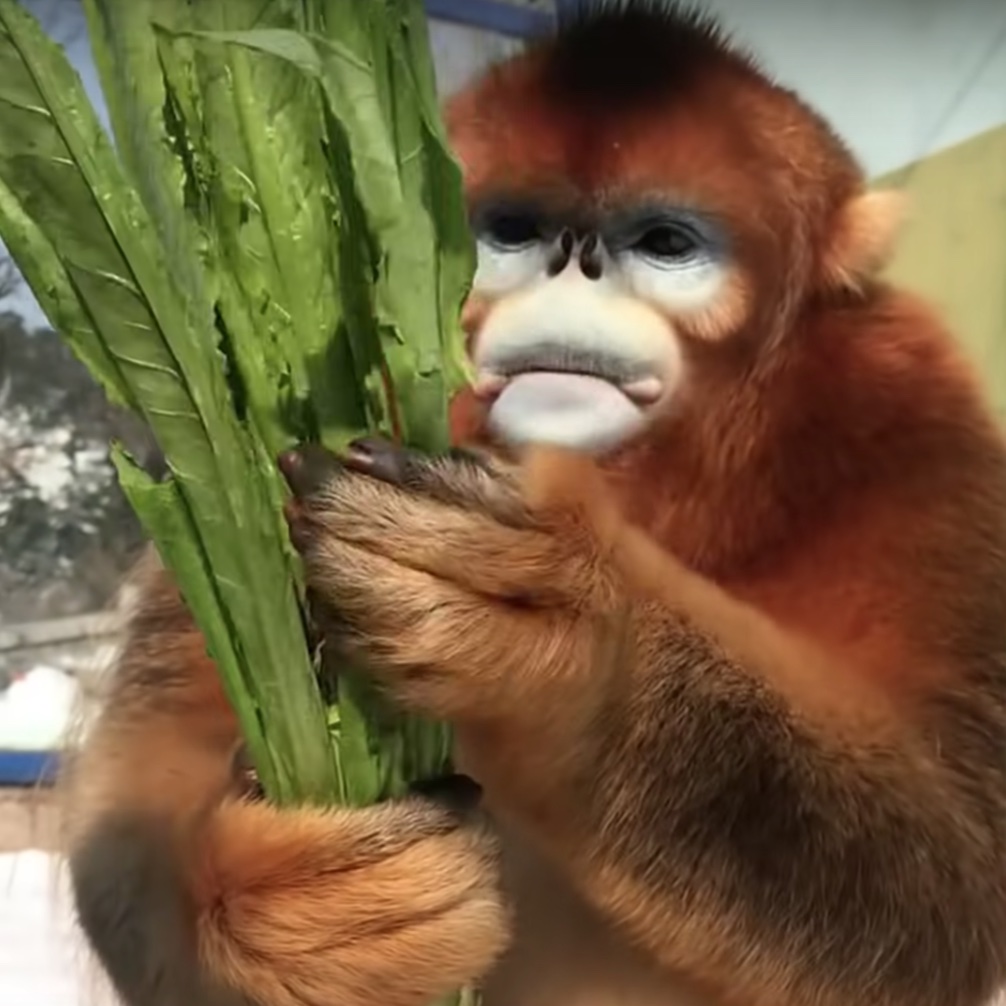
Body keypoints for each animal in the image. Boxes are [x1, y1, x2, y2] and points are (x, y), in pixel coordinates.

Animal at [62, 4, 1006, 1006]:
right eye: (515, 230)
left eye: (665, 245)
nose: (574, 270)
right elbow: (135, 784)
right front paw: (285, 902)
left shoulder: (916, 419)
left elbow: (954, 883)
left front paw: (571, 640)